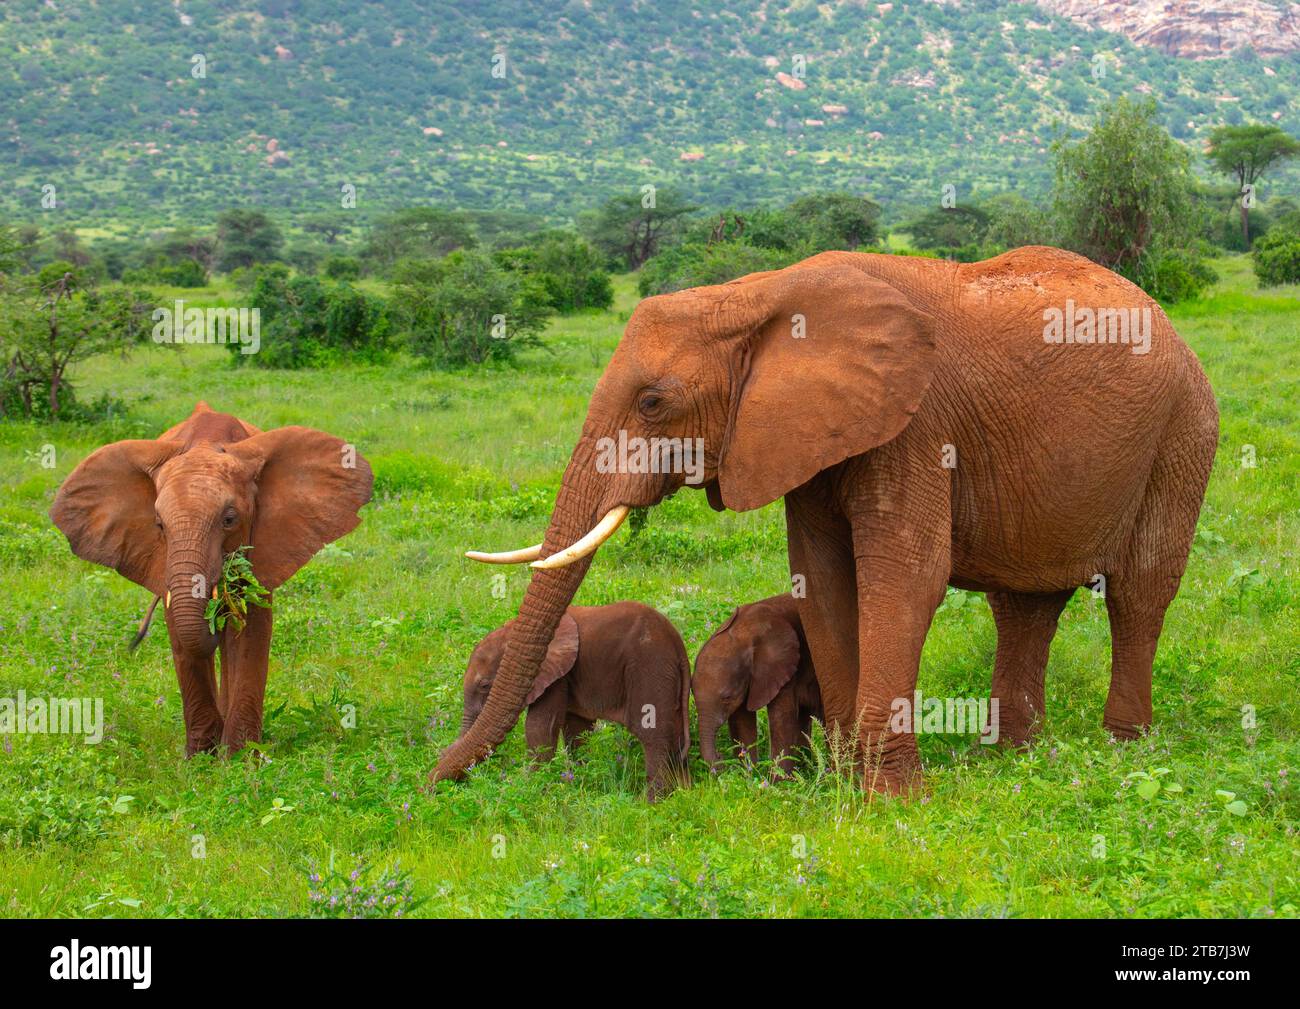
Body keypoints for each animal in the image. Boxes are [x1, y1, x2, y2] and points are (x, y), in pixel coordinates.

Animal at [50, 402, 373, 756]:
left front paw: (241, 757)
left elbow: (250, 626)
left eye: (229, 520)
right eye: (159, 525)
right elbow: (180, 631)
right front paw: (201, 757)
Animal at [458, 602, 691, 800]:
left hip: (651, 669)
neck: (514, 630)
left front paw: (529, 789)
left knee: (653, 736)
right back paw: (682, 793)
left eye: (485, 685)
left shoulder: (556, 676)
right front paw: (579, 784)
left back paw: (649, 802)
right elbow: (576, 730)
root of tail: (678, 646)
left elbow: (539, 729)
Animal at [693, 593, 823, 775]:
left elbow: (781, 718)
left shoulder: (784, 667)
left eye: (727, 698)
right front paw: (748, 774)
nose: (721, 758)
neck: (743, 630)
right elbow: (742, 721)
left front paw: (778, 780)